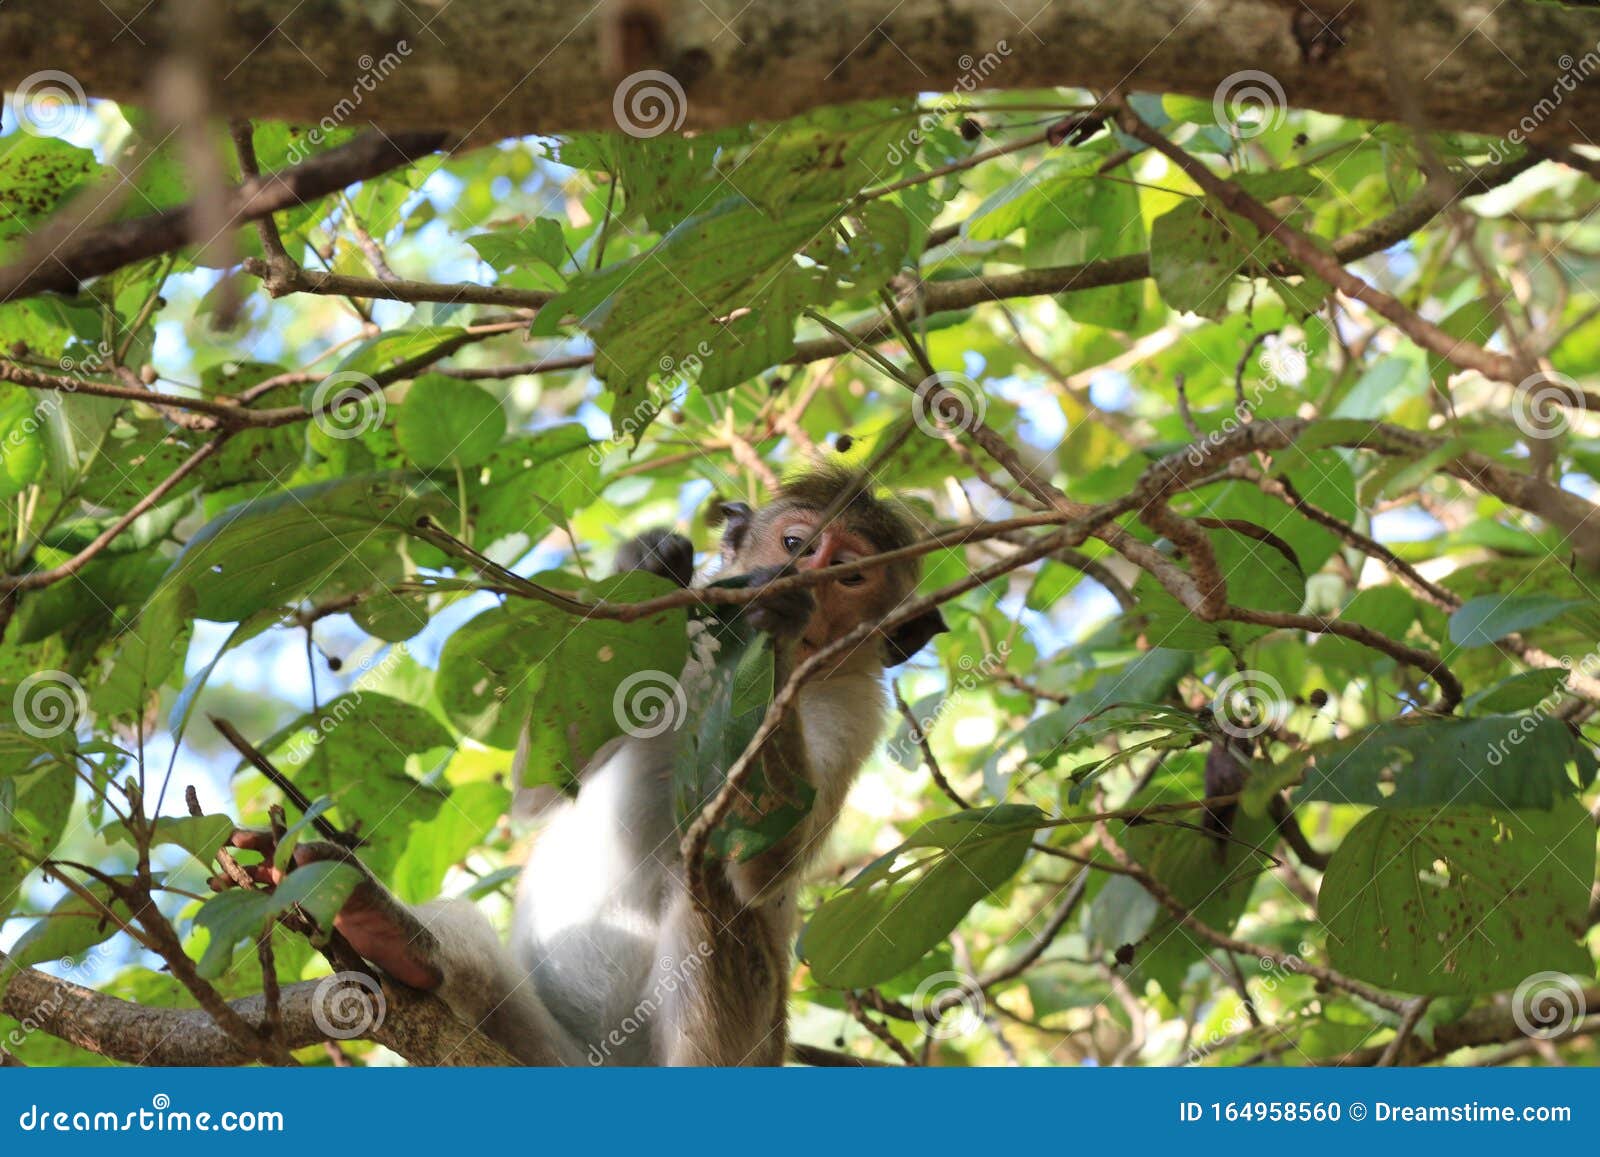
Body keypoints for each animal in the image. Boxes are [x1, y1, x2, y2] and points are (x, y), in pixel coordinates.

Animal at [270, 468, 947, 1065]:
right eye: (795, 542)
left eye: (849, 573)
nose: (802, 573)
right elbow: (540, 791)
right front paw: (649, 564)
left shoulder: (854, 710)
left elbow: (764, 866)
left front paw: (779, 626)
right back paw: (389, 932)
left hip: (748, 1049)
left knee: (706, 877)